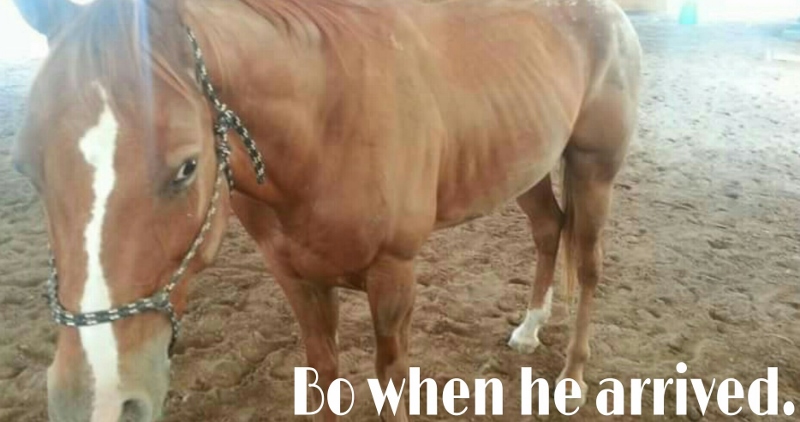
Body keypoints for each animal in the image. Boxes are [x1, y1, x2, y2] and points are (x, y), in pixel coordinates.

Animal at [11, 0, 641, 420]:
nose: (97, 400)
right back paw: (530, 328)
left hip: (593, 170)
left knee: (589, 268)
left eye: (187, 167)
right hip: (528, 166)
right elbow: (322, 378)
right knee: (548, 230)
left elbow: (392, 384)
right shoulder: (298, 279)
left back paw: (572, 377)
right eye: (25, 166)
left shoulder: (394, 277)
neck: (327, 122)